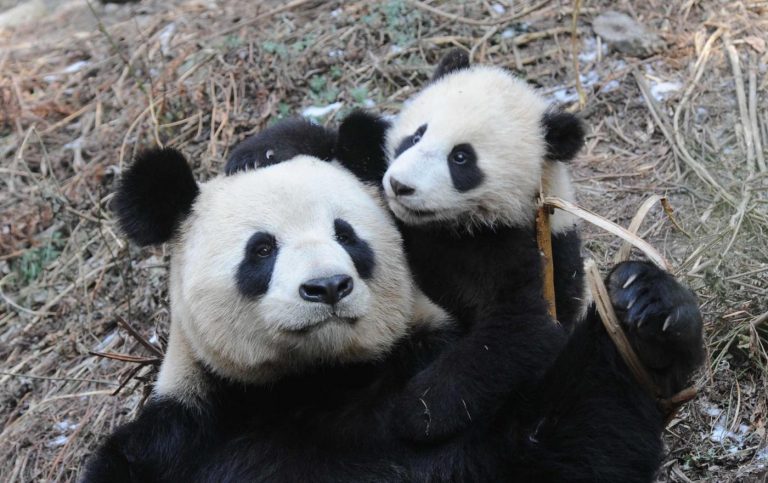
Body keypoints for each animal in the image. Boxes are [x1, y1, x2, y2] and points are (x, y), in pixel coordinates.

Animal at [84, 148, 704, 482]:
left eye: (347, 235)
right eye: (261, 250)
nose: (327, 287)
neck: (315, 382)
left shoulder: (427, 377)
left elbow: (561, 446)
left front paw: (646, 316)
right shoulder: (185, 436)